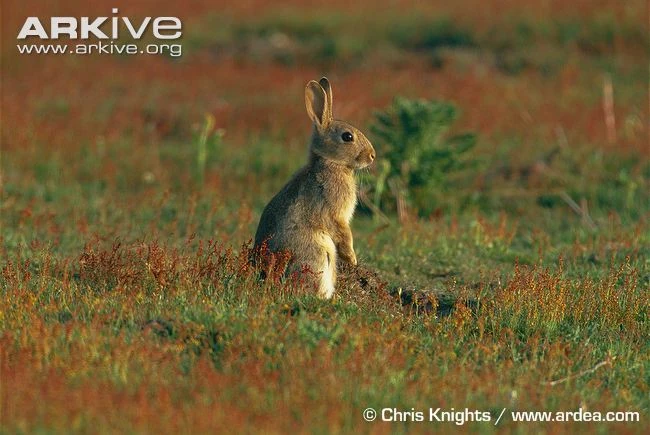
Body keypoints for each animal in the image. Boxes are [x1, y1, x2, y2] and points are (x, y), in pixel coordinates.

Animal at [254, 77, 376, 299]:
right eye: (347, 137)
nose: (372, 156)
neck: (330, 162)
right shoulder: (336, 214)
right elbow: (344, 234)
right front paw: (352, 259)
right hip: (317, 254)